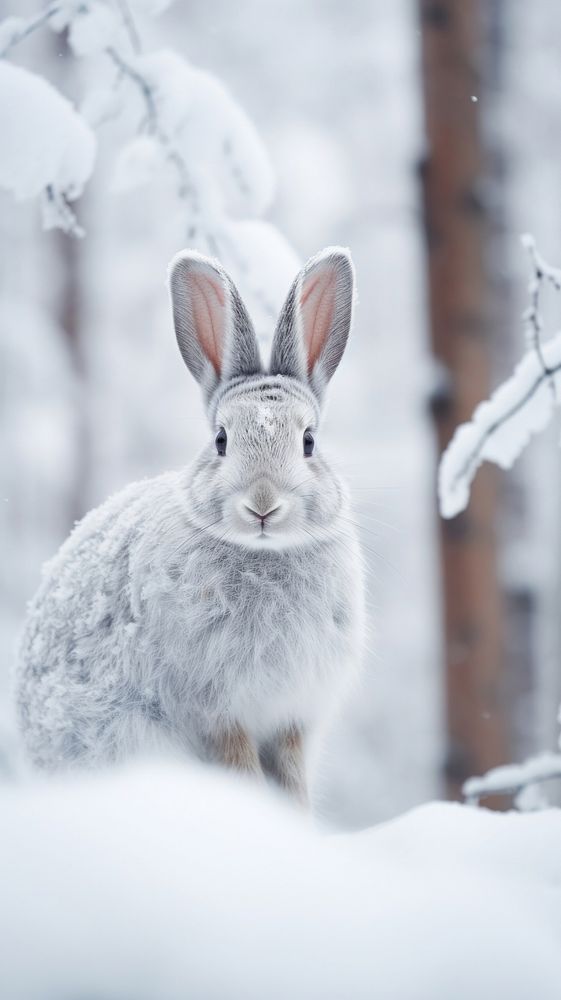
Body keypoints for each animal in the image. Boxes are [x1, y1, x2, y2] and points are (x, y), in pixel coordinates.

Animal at [15, 246, 364, 800]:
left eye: (309, 442)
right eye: (221, 440)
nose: (262, 504)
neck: (264, 553)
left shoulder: (292, 719)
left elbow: (292, 782)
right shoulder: (219, 713)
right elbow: (241, 768)